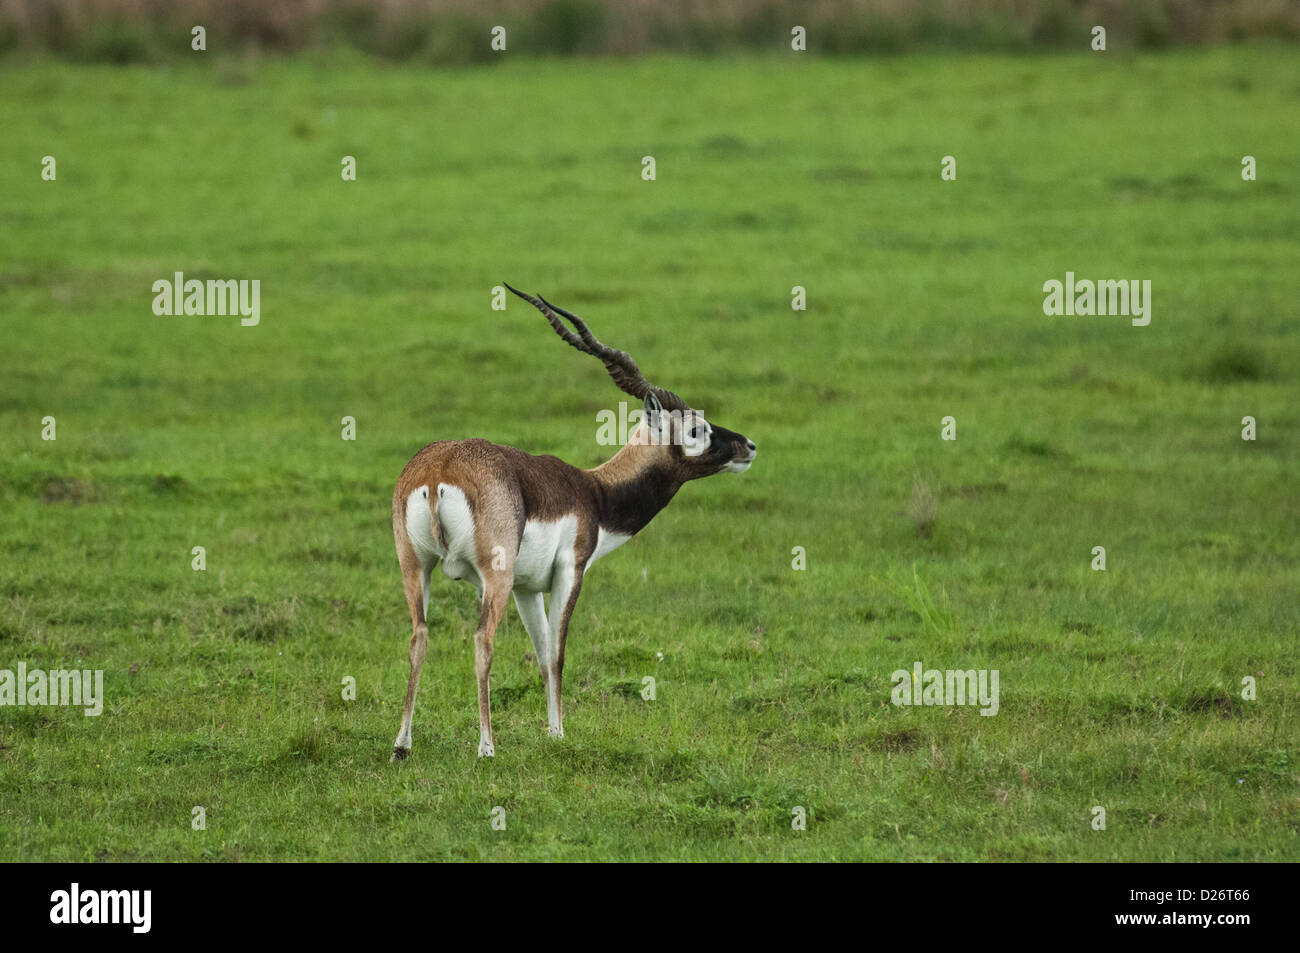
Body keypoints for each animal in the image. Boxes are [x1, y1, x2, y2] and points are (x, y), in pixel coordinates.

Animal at [389, 285, 757, 760]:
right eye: (696, 429)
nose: (747, 446)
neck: (594, 492)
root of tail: (439, 470)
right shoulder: (570, 571)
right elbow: (558, 653)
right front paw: (560, 733)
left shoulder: (528, 588)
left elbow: (542, 652)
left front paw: (552, 731)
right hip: (494, 576)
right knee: (481, 640)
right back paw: (487, 747)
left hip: (415, 565)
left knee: (419, 637)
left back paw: (402, 745)